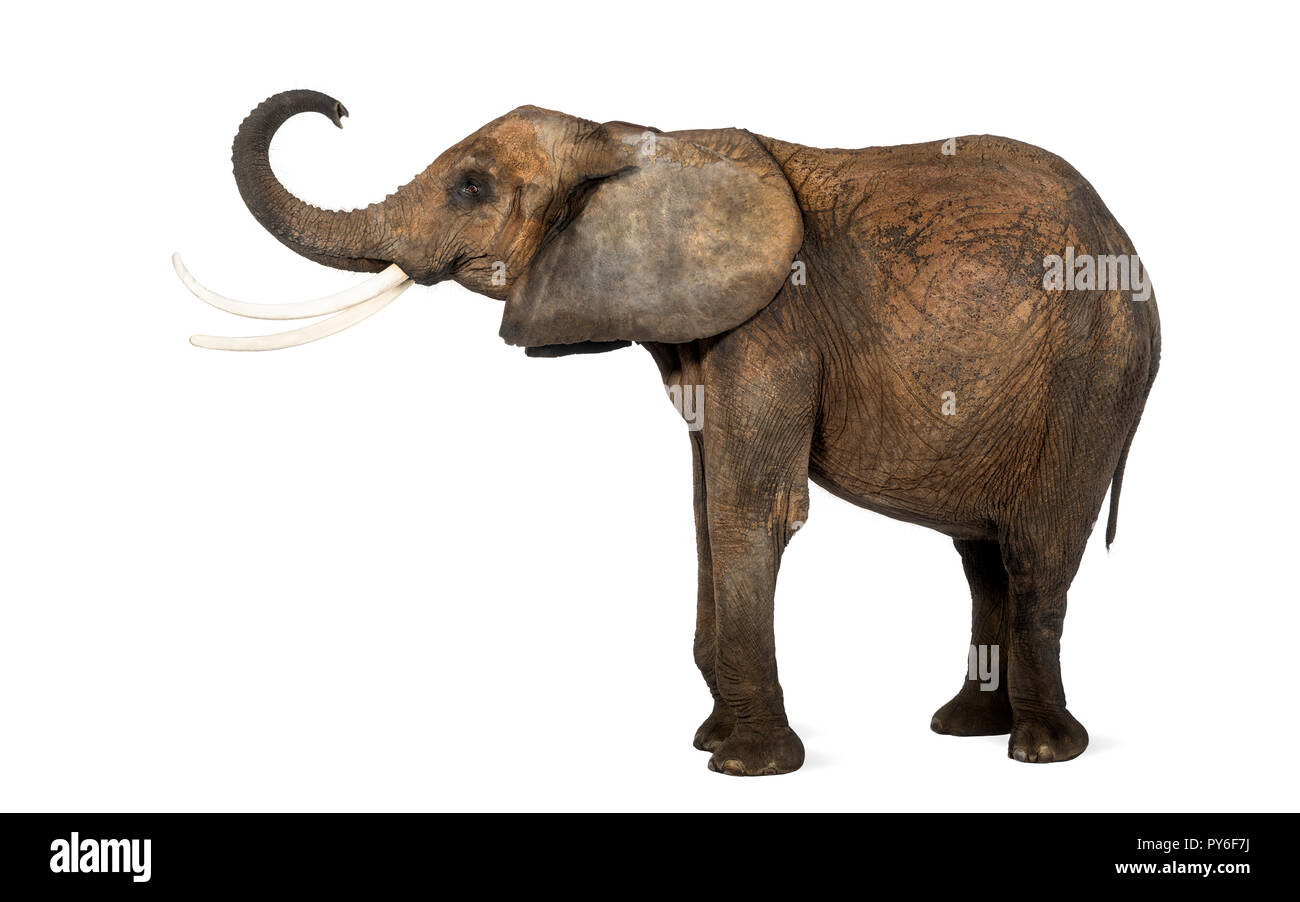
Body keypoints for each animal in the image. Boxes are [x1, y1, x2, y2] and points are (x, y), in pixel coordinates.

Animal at [175, 90, 1161, 775]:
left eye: (471, 187)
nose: (337, 109)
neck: (633, 137)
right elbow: (703, 509)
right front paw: (709, 741)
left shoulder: (772, 324)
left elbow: (748, 510)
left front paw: (745, 766)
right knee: (980, 553)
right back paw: (963, 729)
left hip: (1093, 370)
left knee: (1034, 548)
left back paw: (1040, 752)